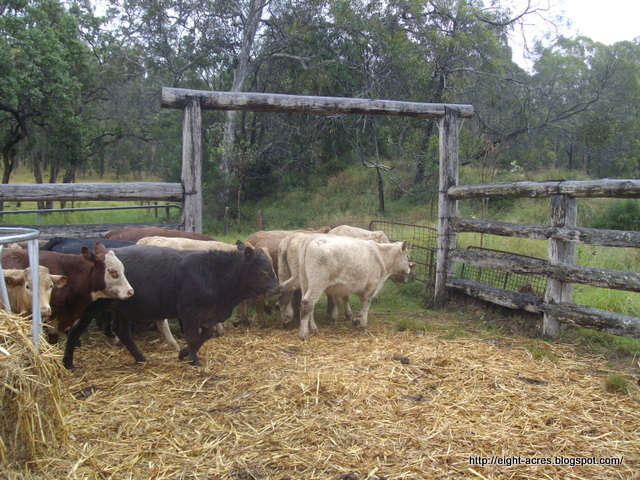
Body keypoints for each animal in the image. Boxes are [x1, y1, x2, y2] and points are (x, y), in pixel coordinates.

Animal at [63, 242, 279, 368]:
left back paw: (140, 358)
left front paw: (184, 353)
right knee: (75, 330)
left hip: (122, 308)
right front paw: (194, 360)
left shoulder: (207, 314)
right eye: (265, 268)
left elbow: (205, 334)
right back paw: (67, 362)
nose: (277, 288)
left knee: (122, 330)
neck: (213, 272)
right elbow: (192, 336)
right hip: (91, 308)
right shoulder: (190, 311)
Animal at [283, 235, 413, 340]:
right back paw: (303, 334)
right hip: (317, 282)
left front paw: (356, 320)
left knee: (308, 304)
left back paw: (314, 329)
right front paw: (362, 324)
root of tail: (310, 239)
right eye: (407, 256)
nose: (408, 273)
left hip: (305, 281)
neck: (381, 255)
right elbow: (366, 305)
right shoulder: (370, 287)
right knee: (308, 302)